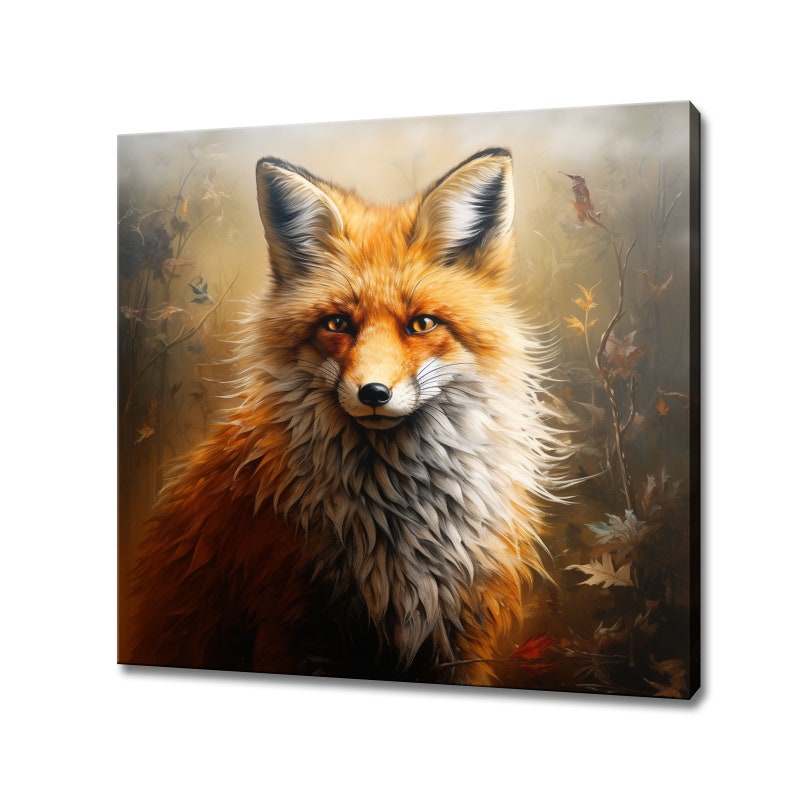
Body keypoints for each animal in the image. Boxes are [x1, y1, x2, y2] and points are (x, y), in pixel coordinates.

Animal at [123, 147, 566, 686]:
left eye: (422, 323)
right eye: (337, 323)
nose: (374, 393)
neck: (397, 522)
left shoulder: (462, 635)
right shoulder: (293, 625)